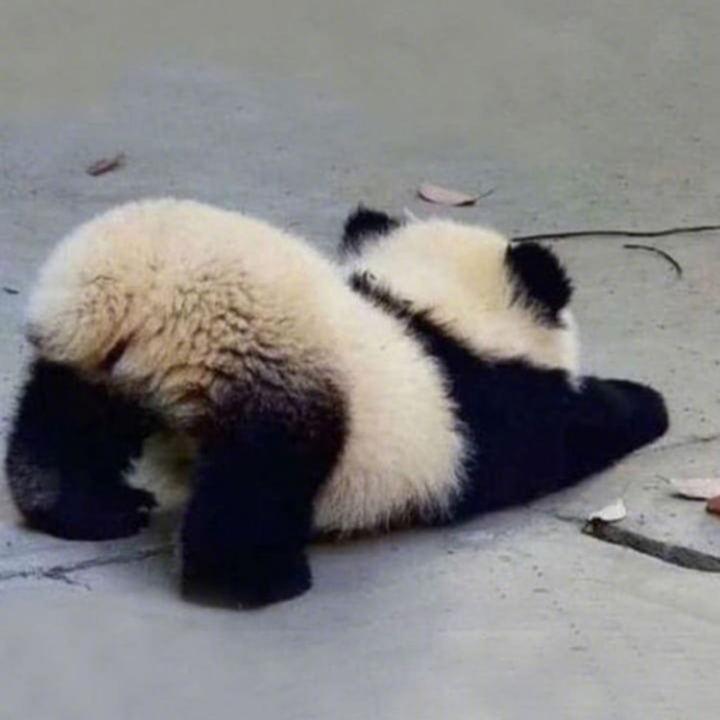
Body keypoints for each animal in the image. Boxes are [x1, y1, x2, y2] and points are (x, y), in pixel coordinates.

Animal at [4, 198, 669, 607]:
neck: (432, 306)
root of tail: (127, 304)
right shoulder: (491, 405)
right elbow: (562, 436)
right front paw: (645, 403)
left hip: (96, 369)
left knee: (64, 424)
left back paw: (88, 509)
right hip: (268, 371)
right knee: (260, 479)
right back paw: (253, 581)